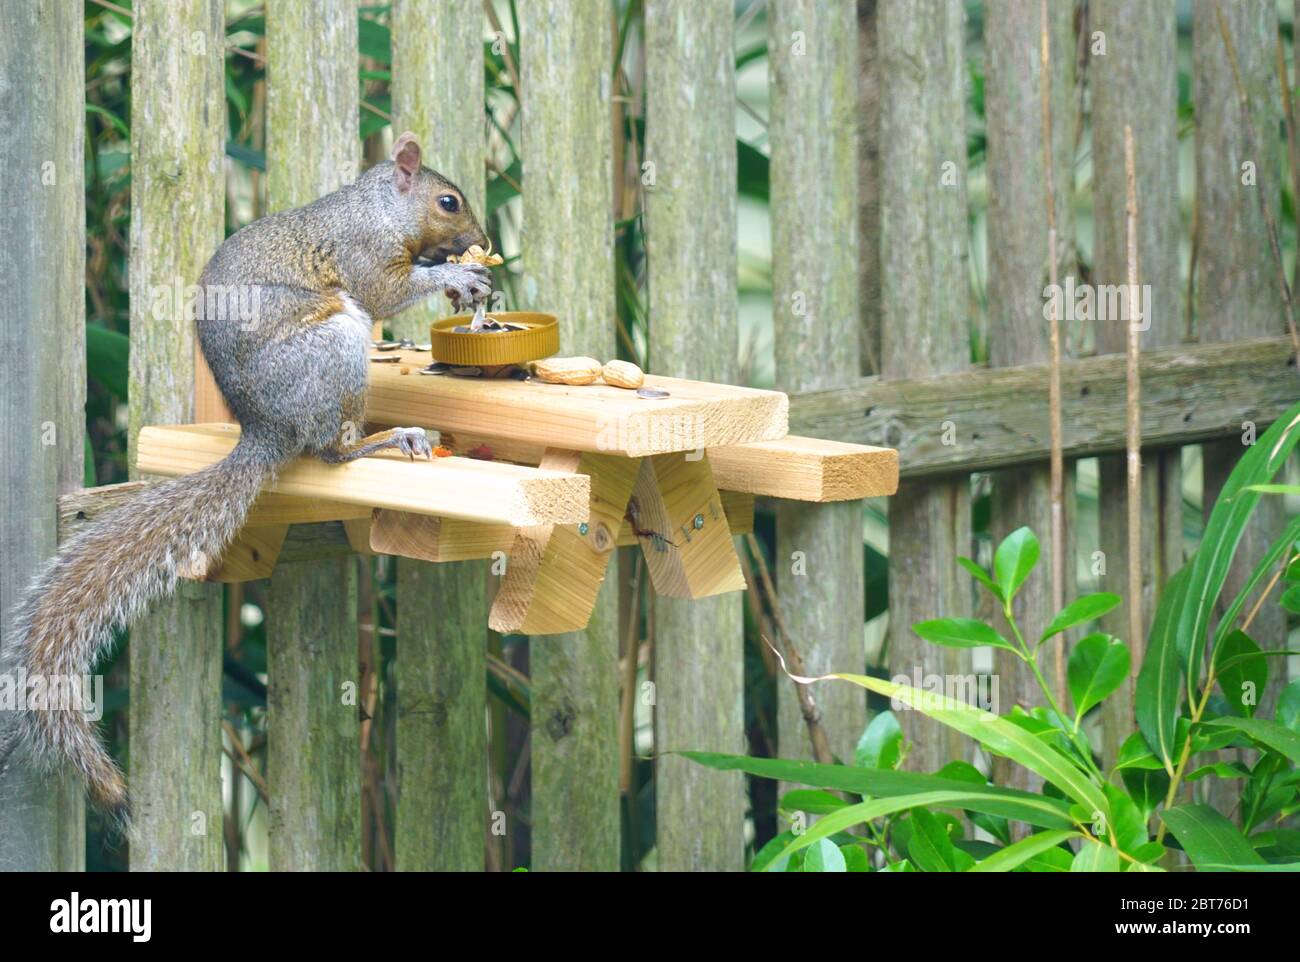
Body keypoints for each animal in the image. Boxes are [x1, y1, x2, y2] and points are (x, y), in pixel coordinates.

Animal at [0, 132, 492, 826]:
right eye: (448, 202)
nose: (481, 238)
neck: (378, 208)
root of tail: (264, 429)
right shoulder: (363, 254)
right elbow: (387, 290)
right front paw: (456, 276)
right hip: (333, 348)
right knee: (331, 451)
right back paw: (387, 439)